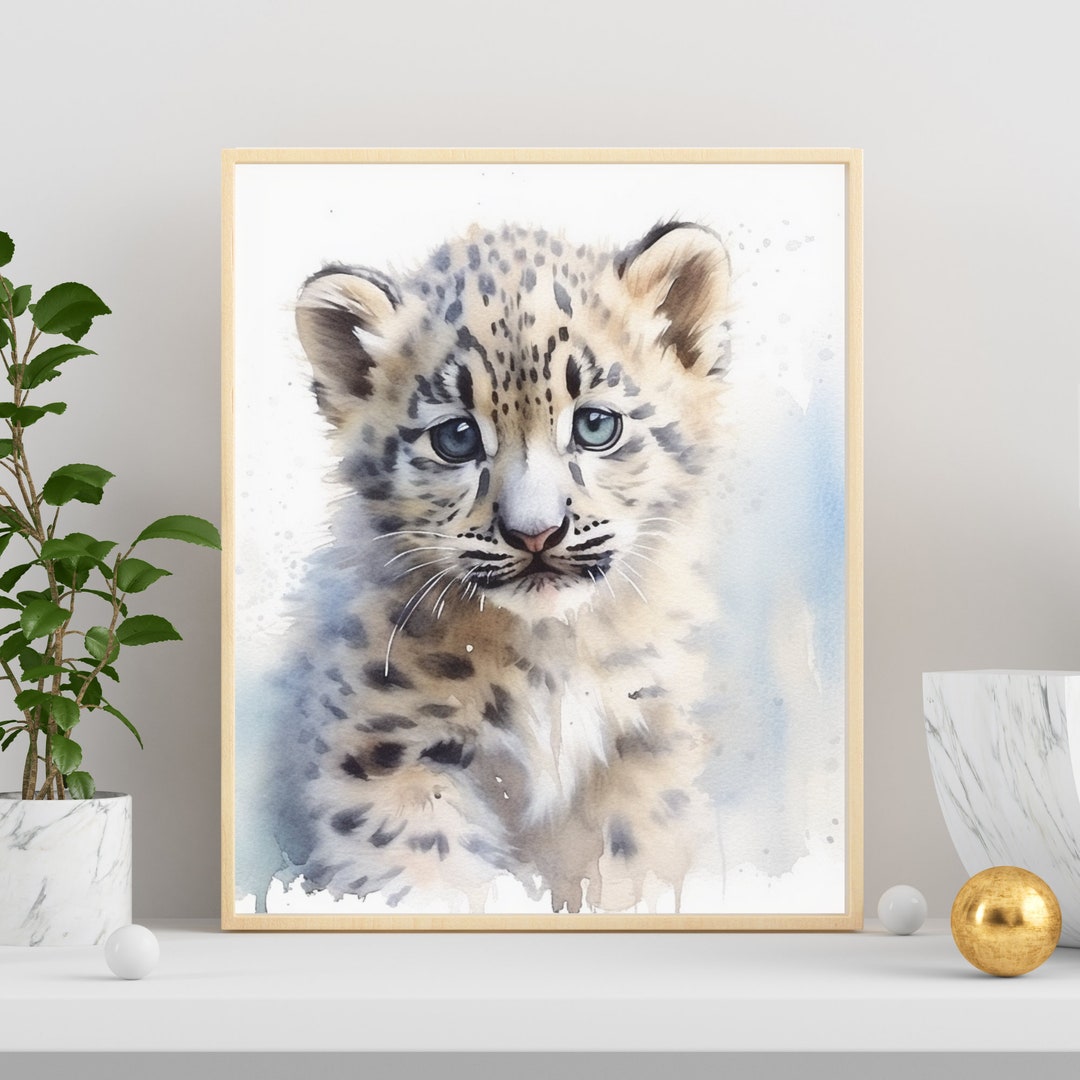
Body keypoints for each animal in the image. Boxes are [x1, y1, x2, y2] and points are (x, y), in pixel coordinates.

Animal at [269, 220, 736, 914]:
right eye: (456, 437)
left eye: (595, 424)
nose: (534, 532)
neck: (551, 660)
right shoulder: (386, 748)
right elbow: (423, 864)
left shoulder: (647, 736)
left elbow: (635, 855)